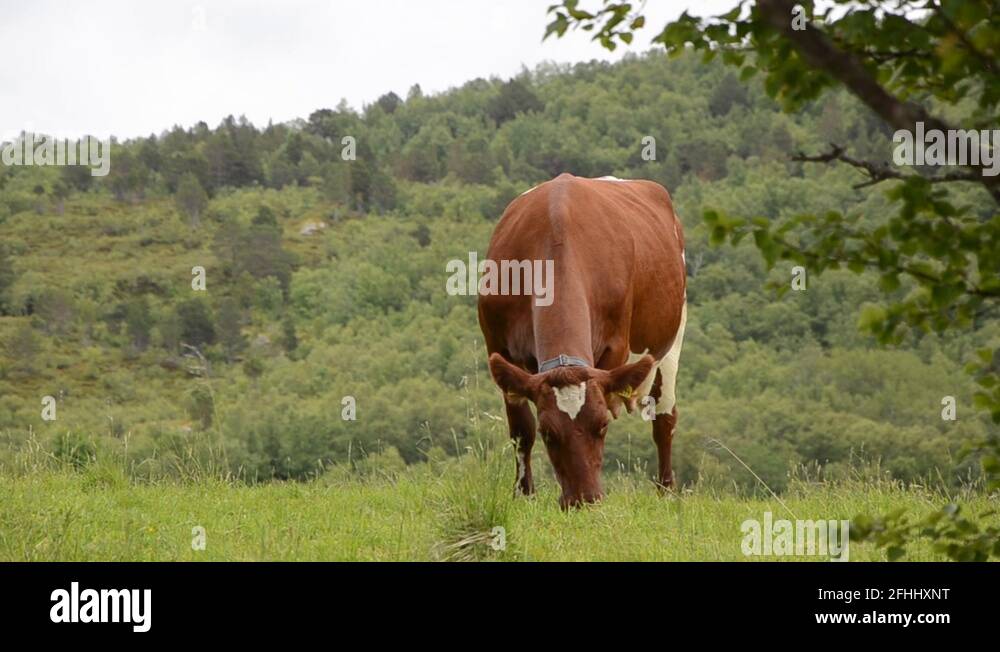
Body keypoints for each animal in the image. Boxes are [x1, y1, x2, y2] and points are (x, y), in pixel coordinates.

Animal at [478, 173, 687, 509]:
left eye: (601, 426)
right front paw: (523, 494)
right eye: (549, 433)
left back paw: (665, 491)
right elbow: (521, 429)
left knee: (665, 417)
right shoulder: (498, 347)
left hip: (671, 339)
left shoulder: (615, 348)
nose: (584, 500)